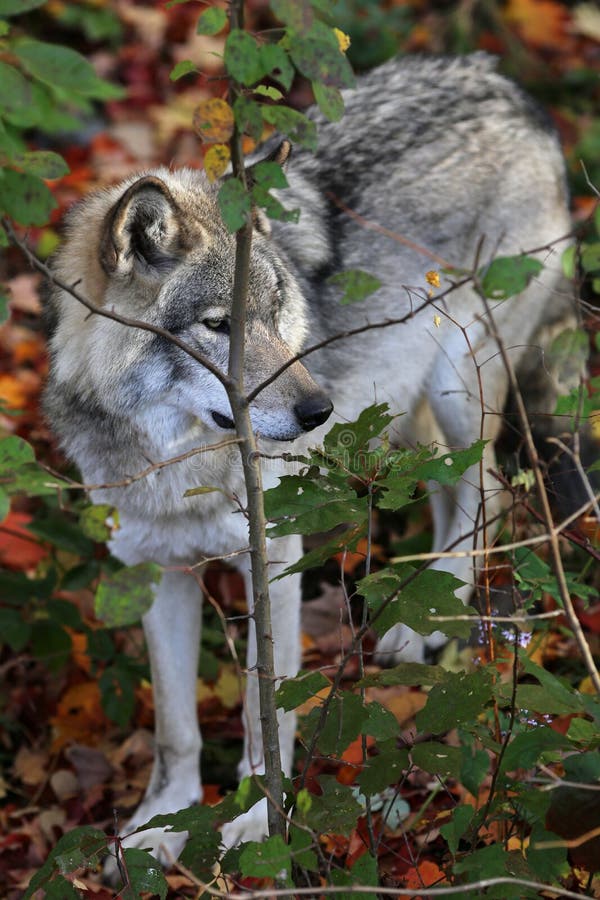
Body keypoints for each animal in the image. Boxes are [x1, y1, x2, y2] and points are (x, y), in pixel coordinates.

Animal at [44, 54, 573, 865]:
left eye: (275, 312)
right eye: (219, 325)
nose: (316, 411)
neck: (178, 465)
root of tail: (505, 84)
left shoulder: (275, 563)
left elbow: (268, 710)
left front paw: (254, 826)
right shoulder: (156, 574)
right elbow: (175, 731)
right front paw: (157, 827)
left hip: (458, 382)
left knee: (489, 487)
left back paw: (427, 624)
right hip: (401, 405)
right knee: (452, 492)